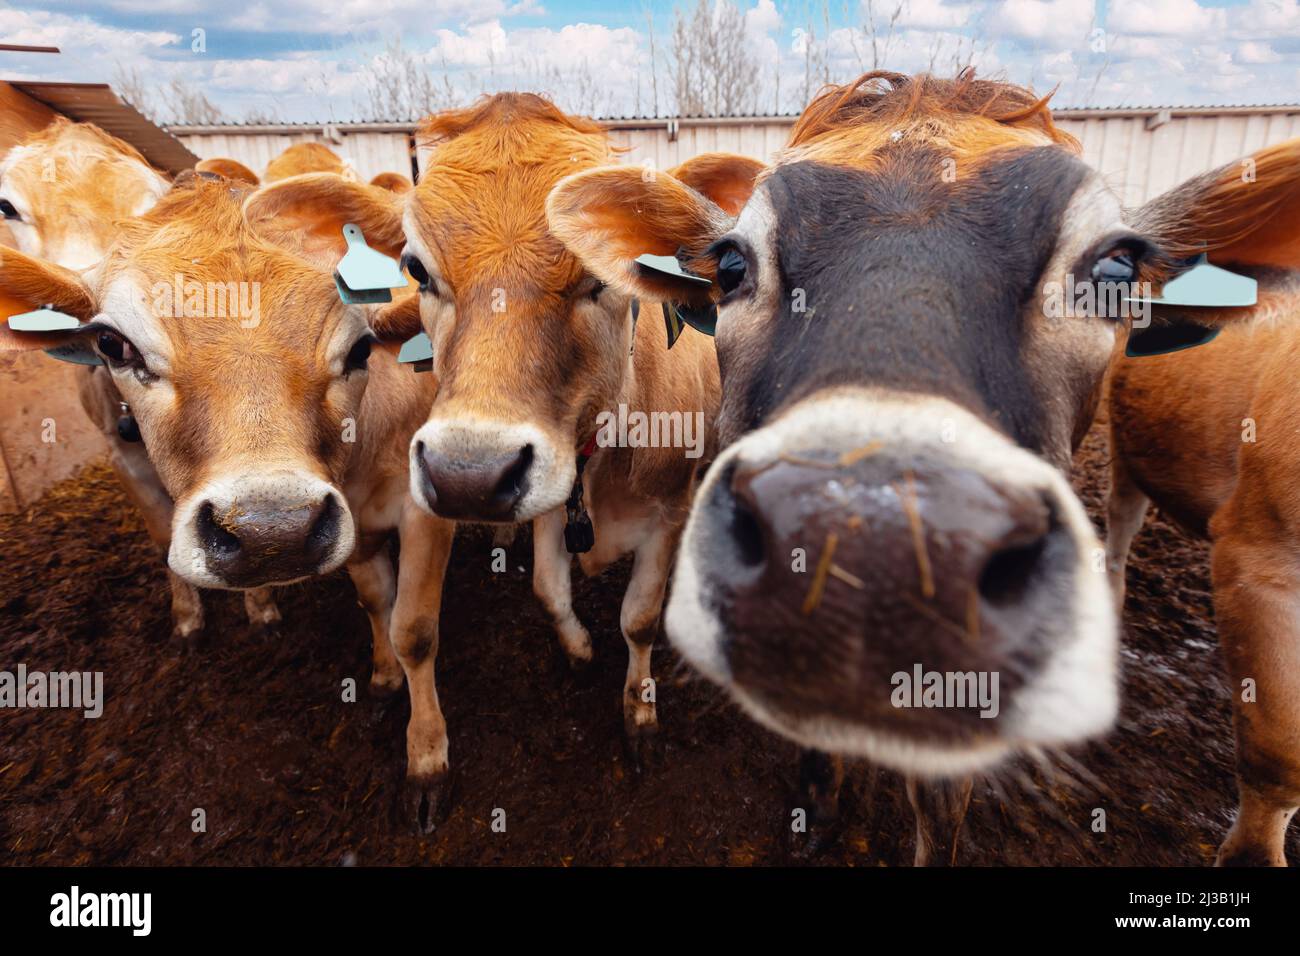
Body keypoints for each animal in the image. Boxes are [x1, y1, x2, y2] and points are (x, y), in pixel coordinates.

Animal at [0, 118, 282, 640]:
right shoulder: (120, 455)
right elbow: (160, 527)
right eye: (6, 205)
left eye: (151, 206)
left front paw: (261, 607)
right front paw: (187, 616)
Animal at [0, 174, 456, 830]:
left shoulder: (425, 511)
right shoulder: (351, 523)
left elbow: (415, 629)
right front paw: (382, 679)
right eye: (113, 345)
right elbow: (377, 604)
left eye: (361, 349)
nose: (273, 531)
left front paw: (426, 762)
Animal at [248, 94, 763, 758]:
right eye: (416, 268)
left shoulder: (668, 512)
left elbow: (641, 619)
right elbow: (548, 588)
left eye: (601, 272)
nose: (467, 476)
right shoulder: (549, 500)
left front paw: (639, 711)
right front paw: (578, 649)